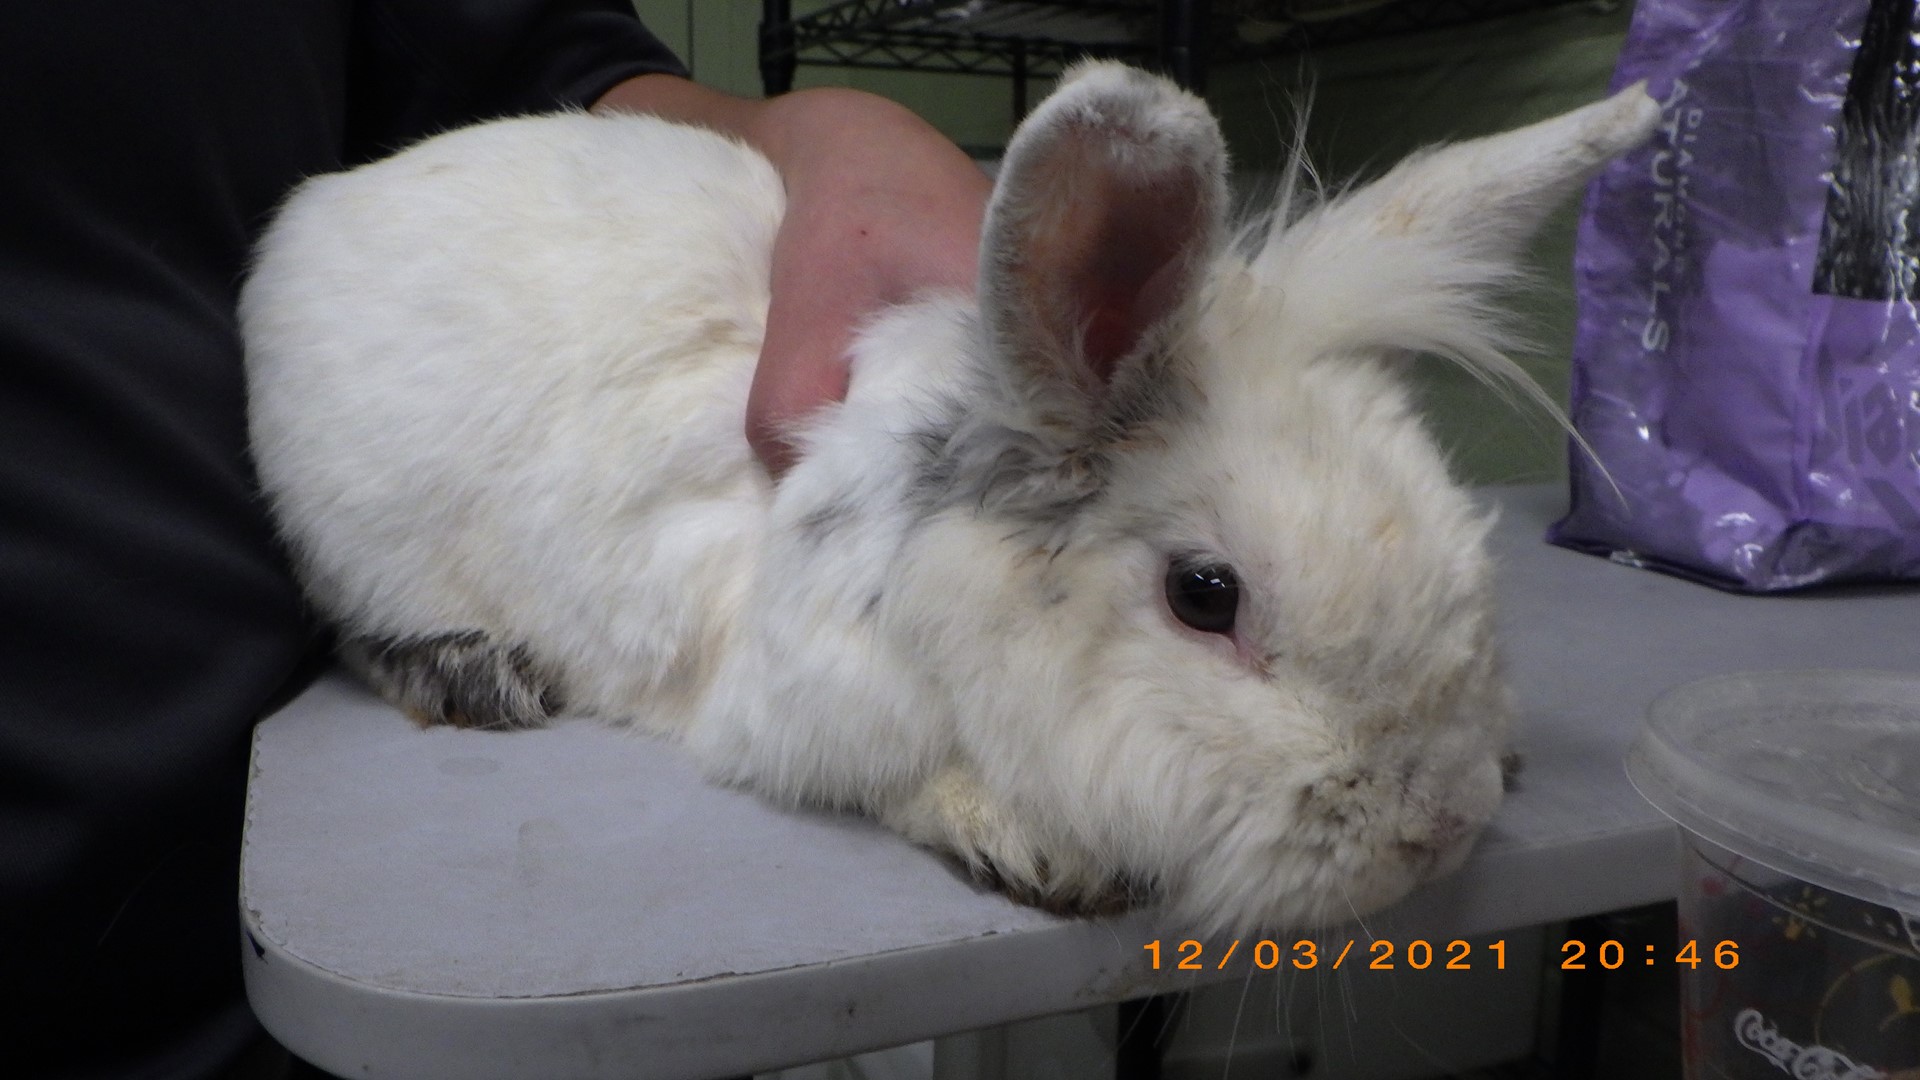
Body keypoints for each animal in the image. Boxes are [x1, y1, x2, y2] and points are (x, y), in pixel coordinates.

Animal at [241, 62, 1659, 935]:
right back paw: (468, 669)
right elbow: (897, 779)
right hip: (349, 529)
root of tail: (320, 206)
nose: (1441, 827)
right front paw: (1033, 848)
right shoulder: (795, 708)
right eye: (1205, 597)